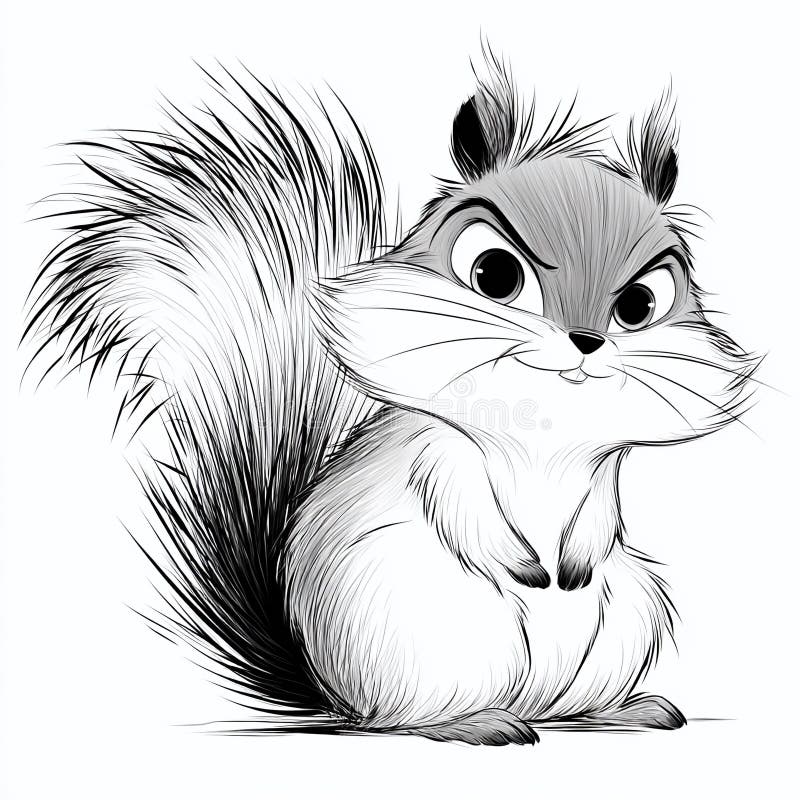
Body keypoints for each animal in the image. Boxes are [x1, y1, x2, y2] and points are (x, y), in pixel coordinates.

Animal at [24, 58, 758, 746]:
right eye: (495, 273)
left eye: (640, 303)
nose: (587, 341)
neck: (545, 423)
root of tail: (334, 695)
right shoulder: (441, 456)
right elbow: (465, 513)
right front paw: (527, 566)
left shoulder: (603, 473)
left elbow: (599, 521)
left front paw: (573, 565)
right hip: (429, 644)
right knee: (404, 722)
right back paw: (475, 723)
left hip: (622, 628)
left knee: (568, 706)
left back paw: (628, 708)